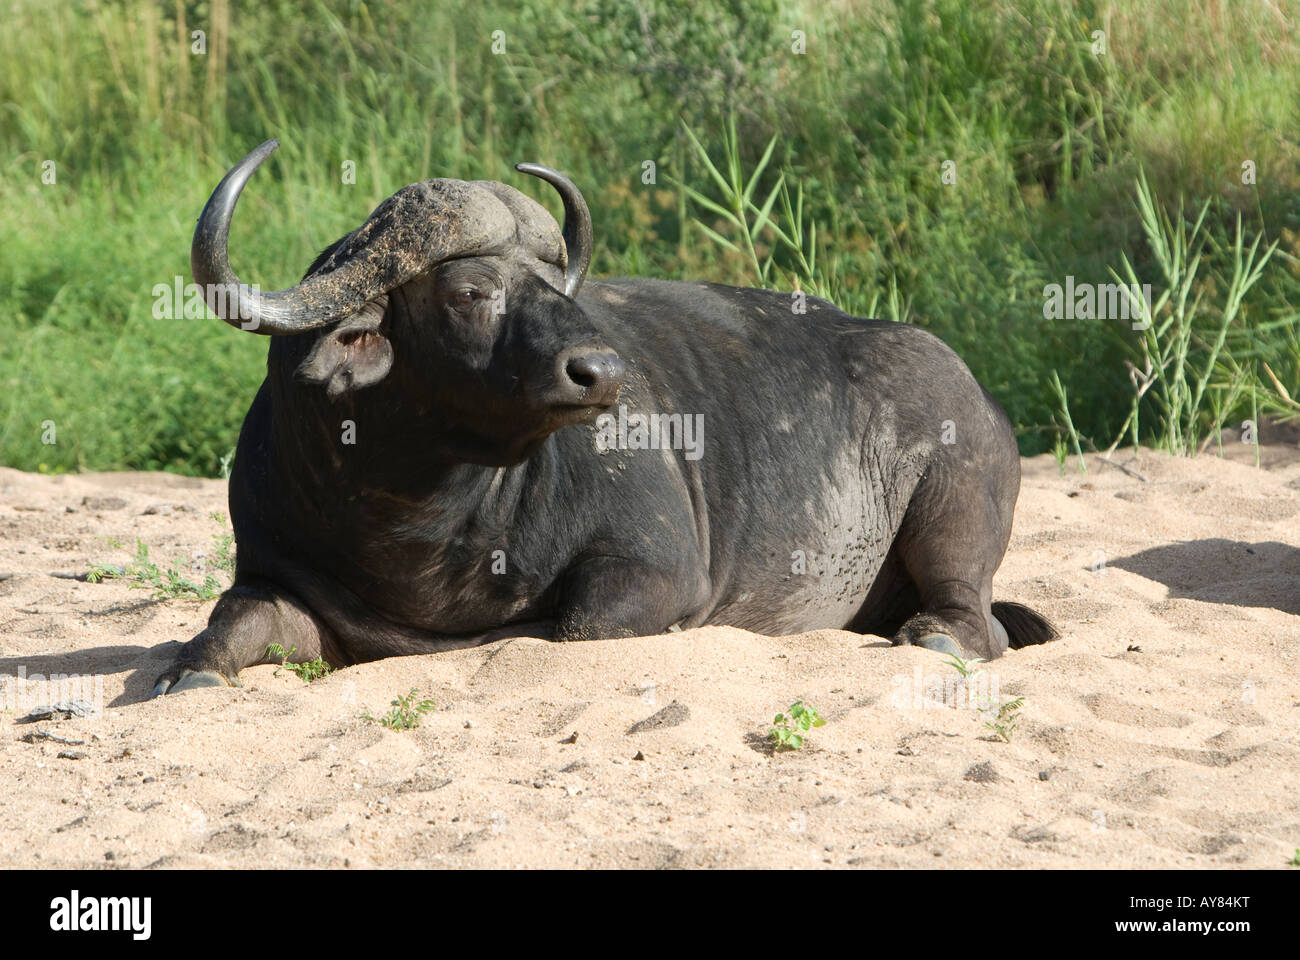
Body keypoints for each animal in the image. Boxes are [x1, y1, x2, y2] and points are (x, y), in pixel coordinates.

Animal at [153, 139, 1057, 695]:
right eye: (470, 291)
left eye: (550, 281)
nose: (601, 371)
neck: (420, 519)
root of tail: (976, 392)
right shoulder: (274, 570)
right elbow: (230, 622)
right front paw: (189, 669)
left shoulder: (654, 570)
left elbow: (571, 628)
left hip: (955, 504)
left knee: (971, 617)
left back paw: (940, 633)